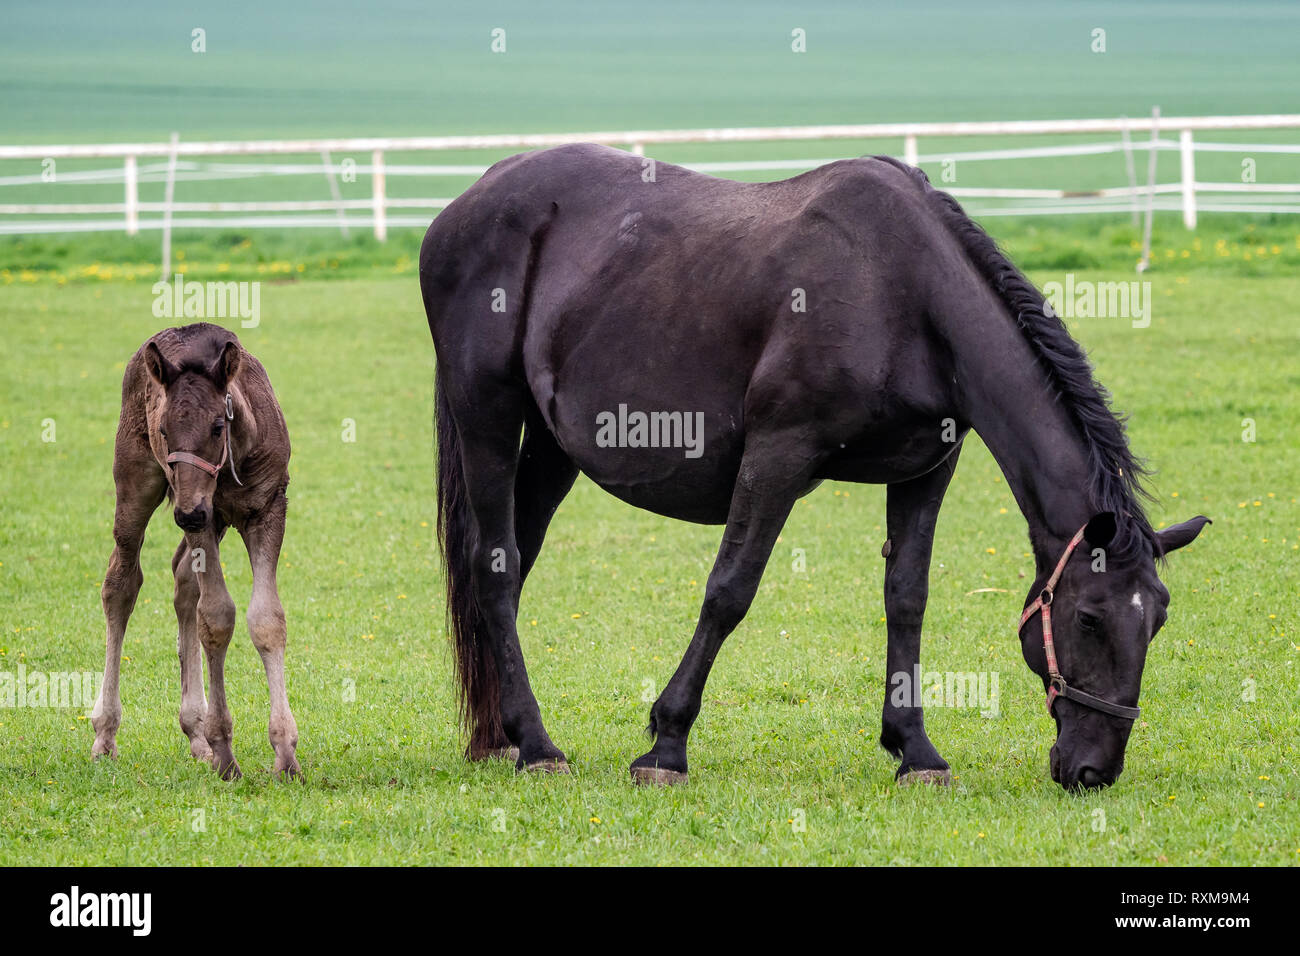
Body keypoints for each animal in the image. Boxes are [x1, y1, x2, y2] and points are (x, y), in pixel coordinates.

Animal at [91, 323, 300, 779]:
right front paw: (225, 751)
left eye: (218, 426)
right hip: (137, 481)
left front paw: (285, 753)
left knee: (183, 580)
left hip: (210, 521)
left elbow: (266, 618)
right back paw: (105, 732)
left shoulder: (268, 508)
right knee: (121, 581)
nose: (187, 513)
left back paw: (195, 732)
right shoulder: (205, 516)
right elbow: (218, 616)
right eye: (164, 430)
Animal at [419, 144, 1209, 791]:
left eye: (1157, 619)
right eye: (1088, 619)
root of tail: (470, 199)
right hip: (488, 417)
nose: (1094, 770)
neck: (904, 295)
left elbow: (907, 598)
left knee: (512, 566)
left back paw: (501, 736)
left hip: (552, 447)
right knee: (495, 567)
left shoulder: (927, 471)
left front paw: (915, 749)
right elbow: (729, 591)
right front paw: (667, 744)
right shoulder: (778, 455)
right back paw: (536, 744)